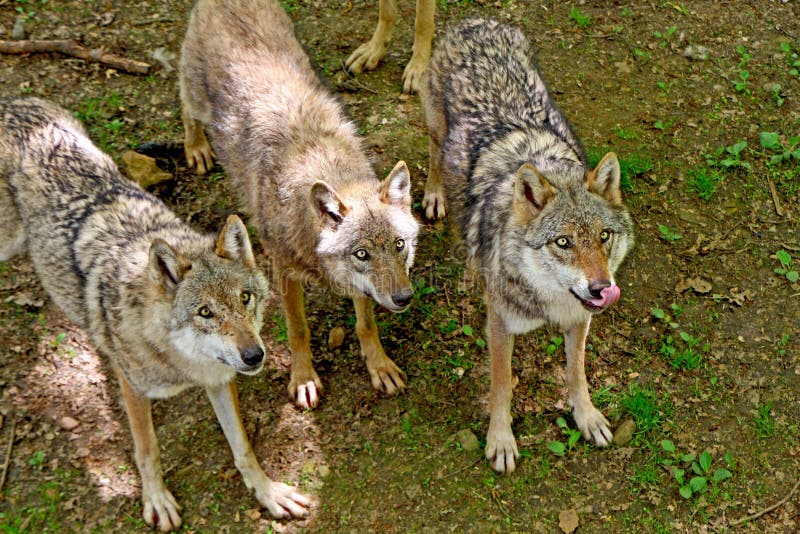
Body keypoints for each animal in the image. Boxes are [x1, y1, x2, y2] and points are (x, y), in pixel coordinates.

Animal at [0, 98, 309, 530]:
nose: (254, 356)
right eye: (205, 312)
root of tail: (16, 102)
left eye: (245, 298)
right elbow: (147, 449)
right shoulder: (134, 388)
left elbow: (243, 446)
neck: (181, 361)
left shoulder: (218, 380)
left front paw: (268, 492)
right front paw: (157, 499)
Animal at [179, 0, 420, 409]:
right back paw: (195, 148)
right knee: (184, 107)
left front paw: (379, 365)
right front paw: (304, 378)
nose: (403, 298)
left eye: (399, 245)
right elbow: (298, 330)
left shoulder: (359, 287)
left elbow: (365, 323)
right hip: (196, 99)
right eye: (362, 254)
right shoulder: (284, 273)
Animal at [420, 19, 634, 473]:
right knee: (433, 157)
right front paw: (500, 440)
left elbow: (577, 373)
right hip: (435, 131)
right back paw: (435, 198)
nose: (601, 288)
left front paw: (587, 417)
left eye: (603, 237)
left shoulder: (579, 319)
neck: (548, 302)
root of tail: (474, 22)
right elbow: (501, 387)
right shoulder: (500, 326)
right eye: (563, 242)